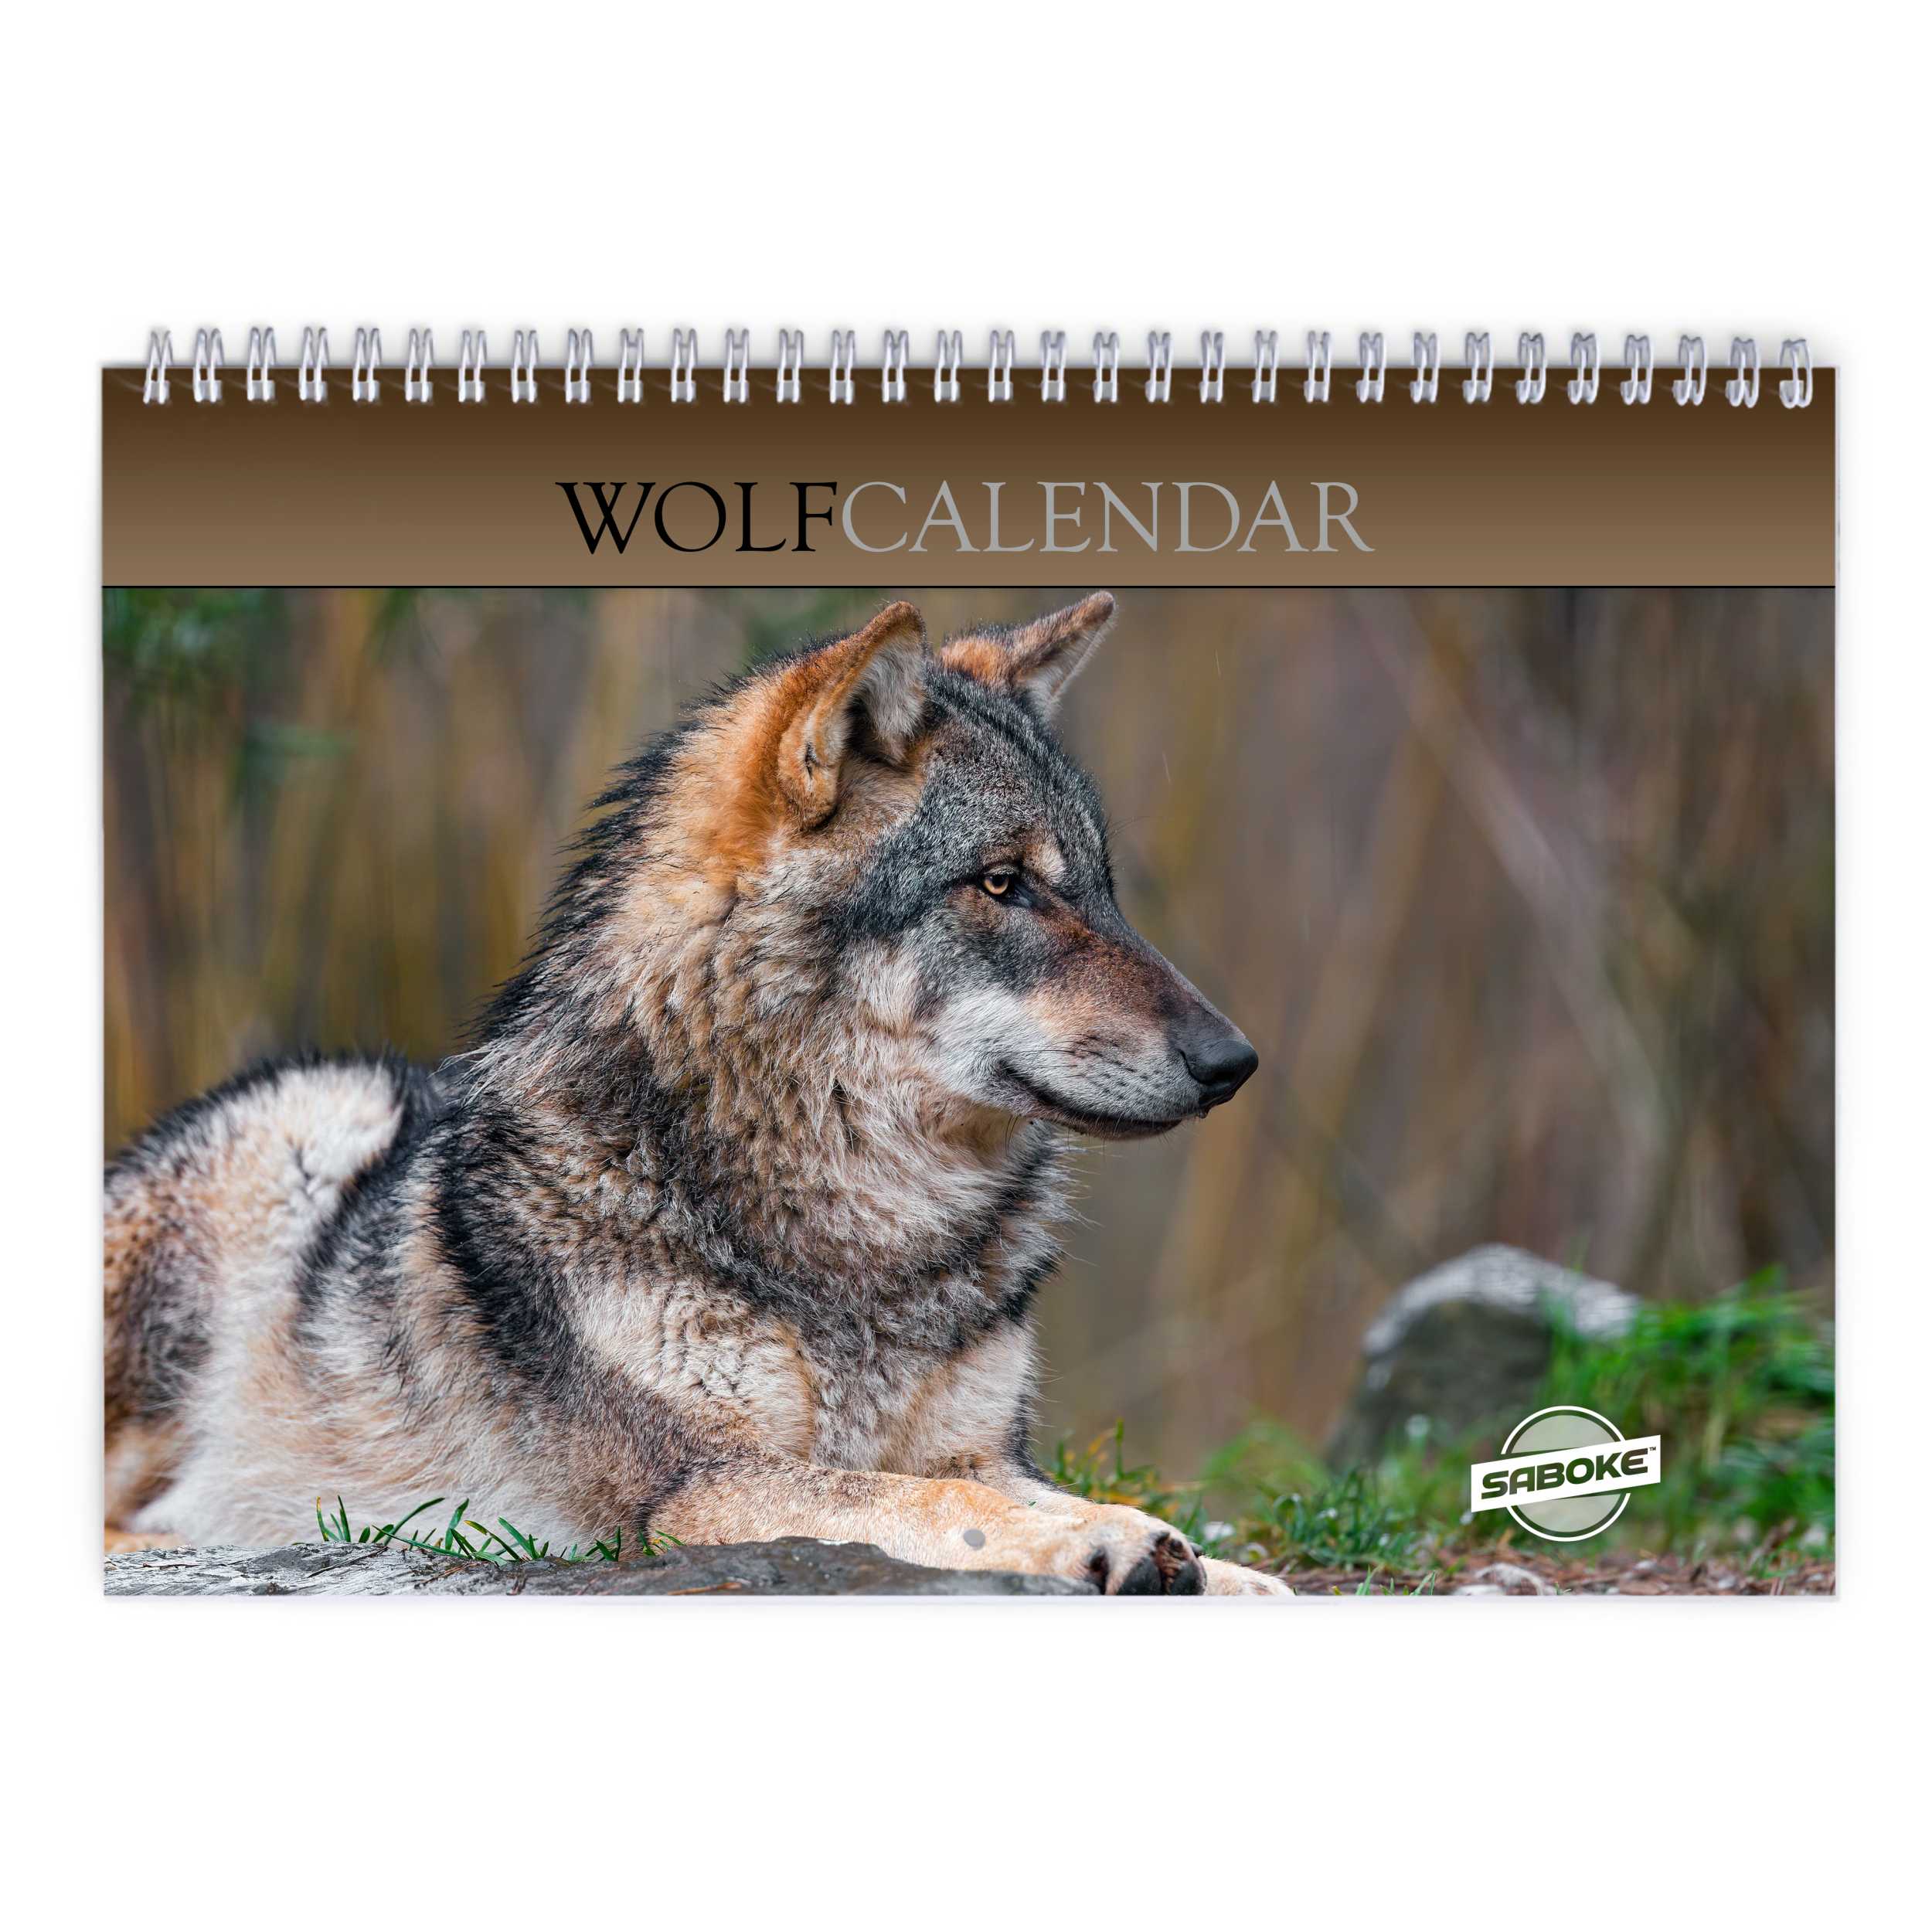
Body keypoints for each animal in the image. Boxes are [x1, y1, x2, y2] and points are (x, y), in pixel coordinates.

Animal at [104, 594, 1287, 1594]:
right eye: (1002, 883)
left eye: (1101, 889)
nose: (1234, 1062)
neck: (868, 1246)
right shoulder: (699, 1487)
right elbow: (931, 1502)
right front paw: (1114, 1542)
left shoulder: (986, 1449)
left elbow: (1028, 1494)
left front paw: (1215, 1568)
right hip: (310, 1119)